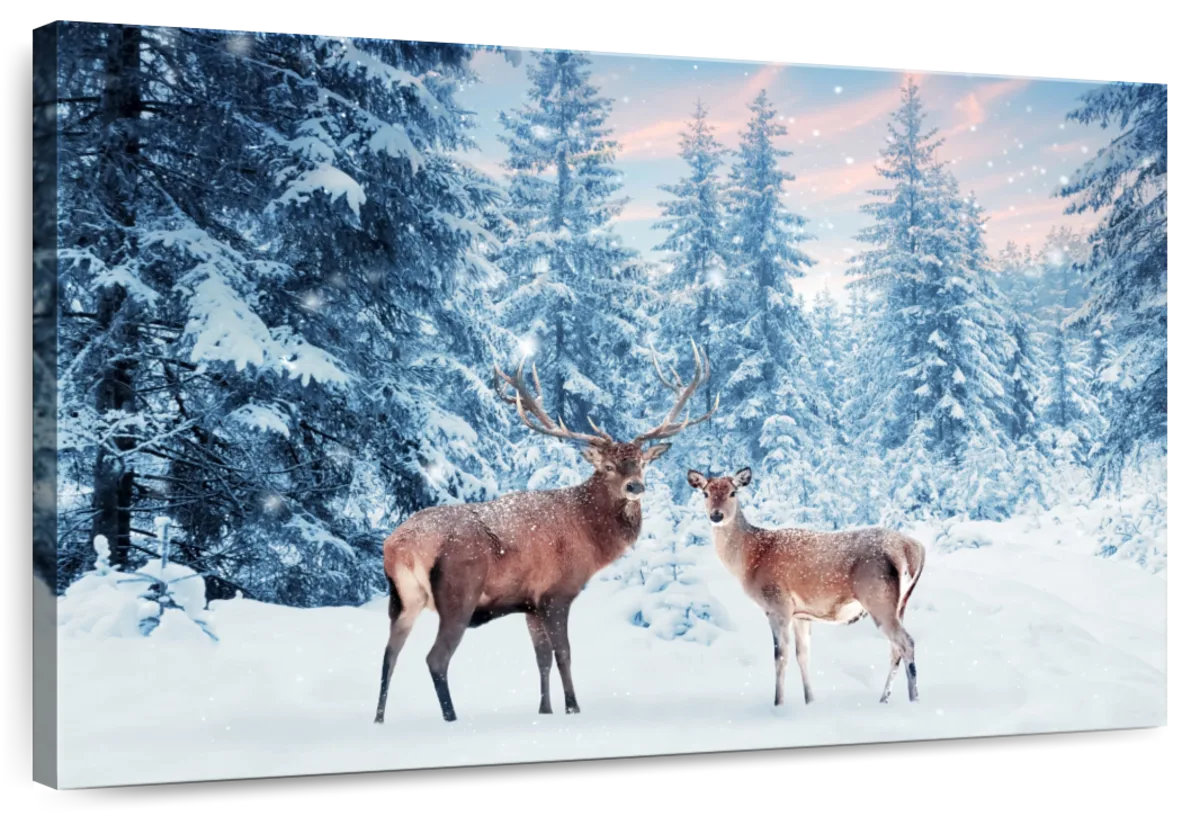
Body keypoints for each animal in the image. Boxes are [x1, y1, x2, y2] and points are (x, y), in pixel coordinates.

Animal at [374, 343, 718, 723]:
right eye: (608, 466)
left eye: (642, 462)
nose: (635, 486)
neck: (590, 538)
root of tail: (399, 546)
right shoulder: (557, 593)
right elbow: (563, 654)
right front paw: (572, 707)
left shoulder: (530, 603)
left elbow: (541, 659)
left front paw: (545, 710)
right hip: (458, 593)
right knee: (435, 658)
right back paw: (451, 718)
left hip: (402, 599)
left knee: (388, 654)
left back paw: (379, 718)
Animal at [686, 467, 925, 707]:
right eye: (705, 493)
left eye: (733, 492)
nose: (716, 515)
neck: (750, 559)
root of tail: (913, 548)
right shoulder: (801, 614)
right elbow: (803, 656)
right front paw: (810, 701)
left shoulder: (777, 604)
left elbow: (781, 656)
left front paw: (778, 704)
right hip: (900, 603)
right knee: (895, 649)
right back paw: (884, 699)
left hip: (877, 597)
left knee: (906, 643)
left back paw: (914, 699)